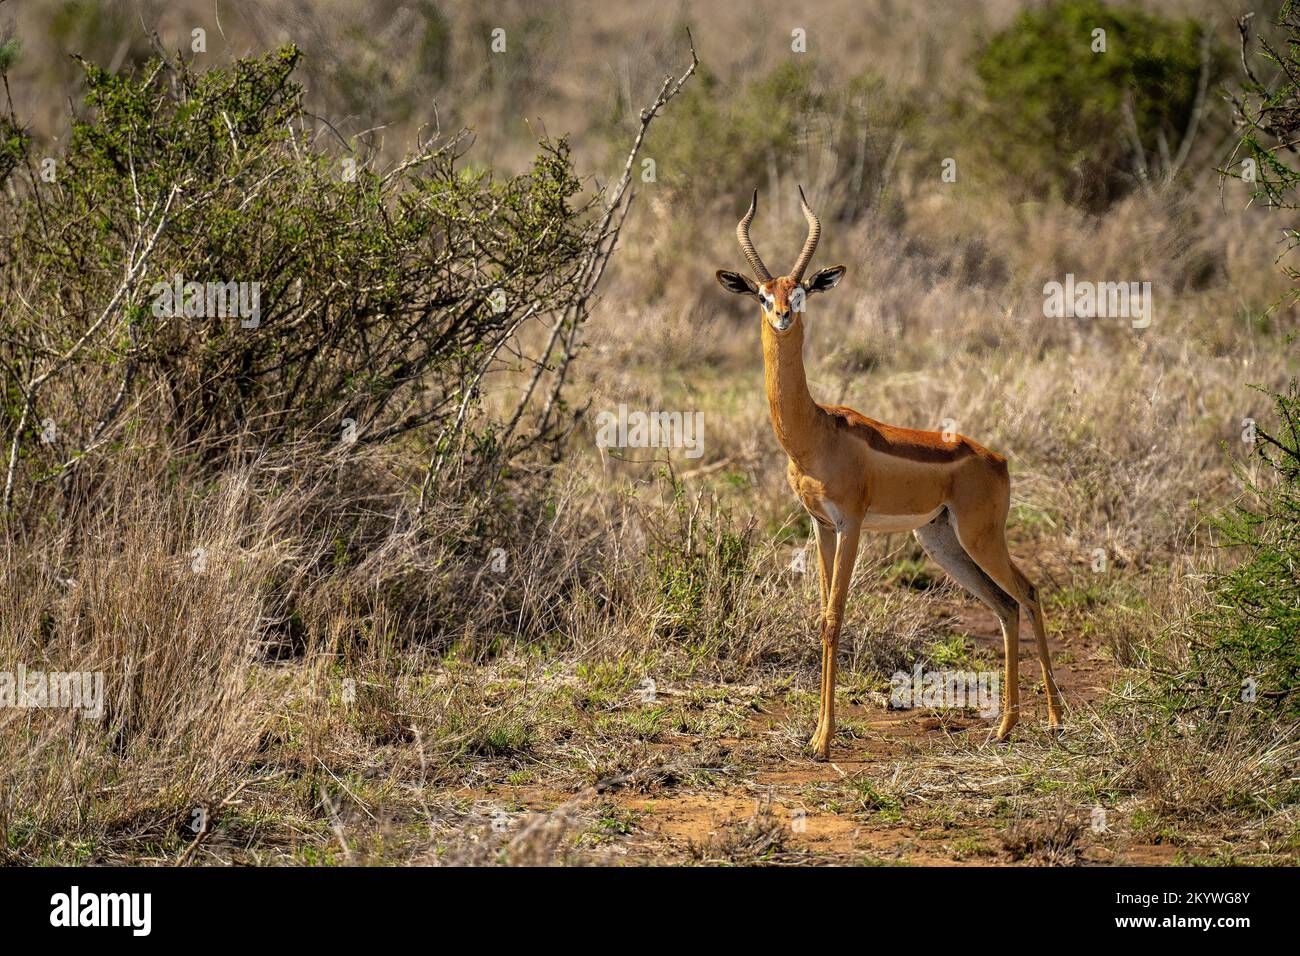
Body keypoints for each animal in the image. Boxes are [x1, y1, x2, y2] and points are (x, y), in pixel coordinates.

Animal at [716, 188, 1063, 760]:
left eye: (802, 292)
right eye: (762, 296)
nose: (783, 316)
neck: (817, 434)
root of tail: (998, 460)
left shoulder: (851, 523)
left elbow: (835, 617)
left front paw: (823, 739)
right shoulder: (819, 524)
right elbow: (821, 613)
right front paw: (817, 733)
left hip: (981, 536)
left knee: (1028, 593)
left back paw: (1054, 719)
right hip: (942, 540)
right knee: (1004, 606)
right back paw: (1004, 727)